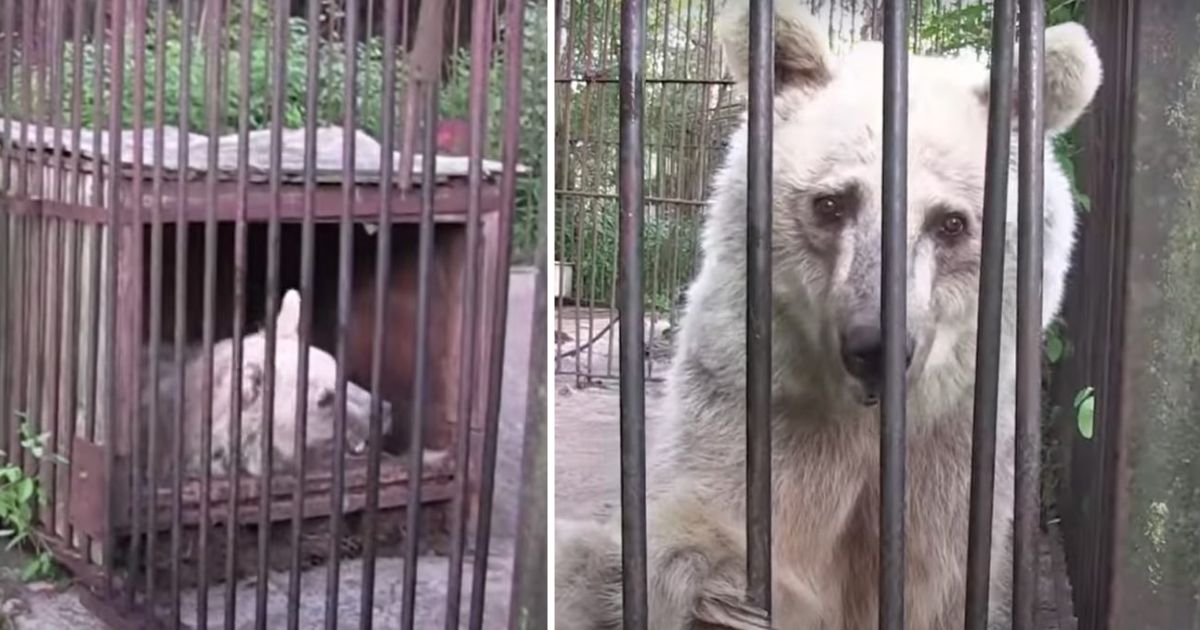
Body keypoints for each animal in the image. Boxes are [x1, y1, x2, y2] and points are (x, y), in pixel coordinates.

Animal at [555, 2, 1102, 629]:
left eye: (951, 222)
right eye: (832, 203)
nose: (875, 346)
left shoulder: (959, 443)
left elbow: (938, 580)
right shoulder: (759, 407)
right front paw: (724, 594)